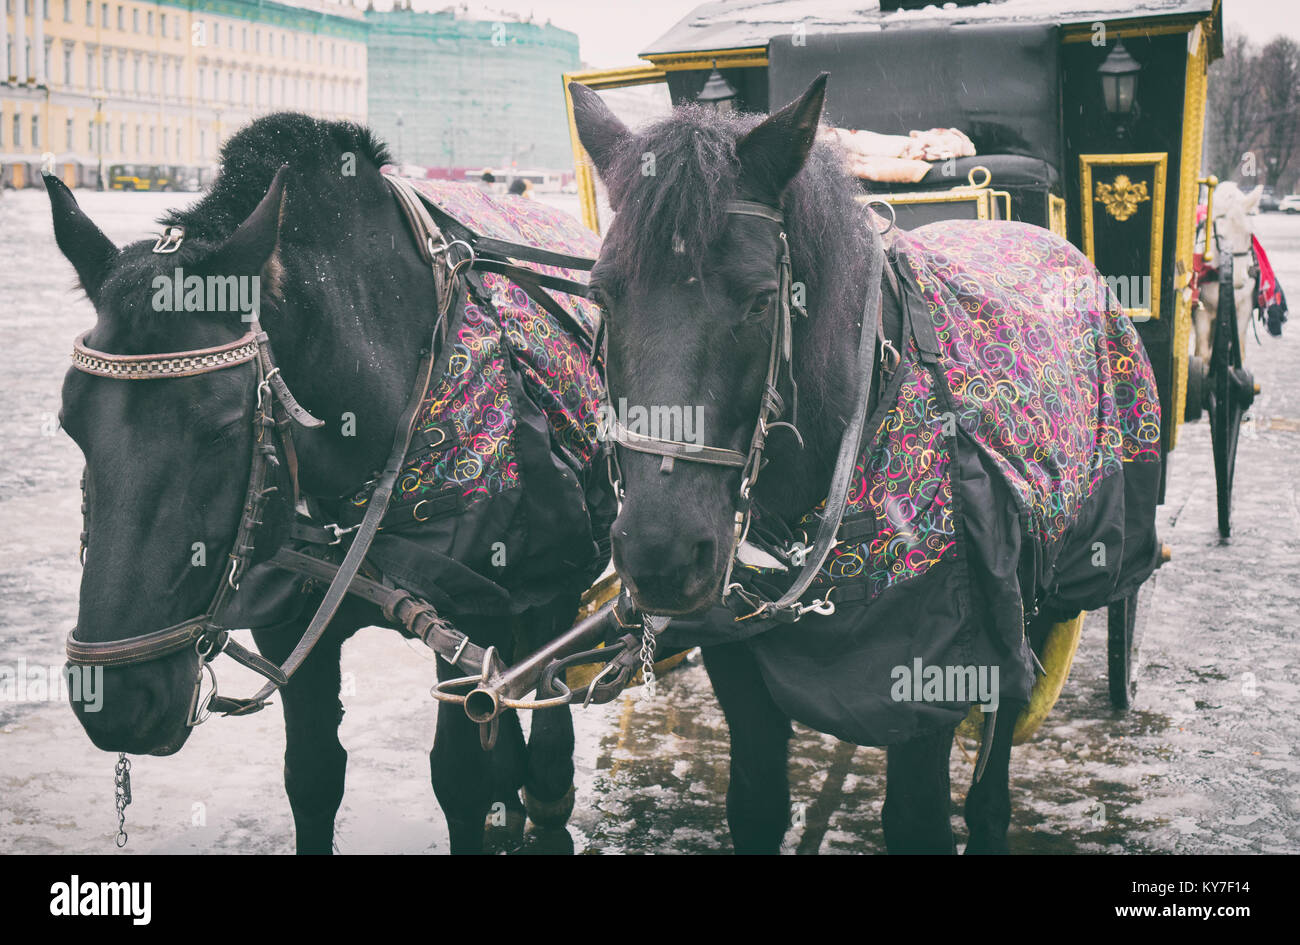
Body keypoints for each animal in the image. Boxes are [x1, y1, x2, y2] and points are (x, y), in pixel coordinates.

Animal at [46, 112, 608, 854]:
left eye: (222, 428)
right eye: (70, 421)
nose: (115, 702)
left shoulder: (473, 615)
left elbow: (460, 777)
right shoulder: (288, 628)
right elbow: (312, 777)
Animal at [569, 75, 1163, 854]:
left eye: (760, 300)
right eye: (602, 293)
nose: (660, 553)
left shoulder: (931, 677)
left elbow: (918, 817)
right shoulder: (735, 662)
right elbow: (755, 802)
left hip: (1045, 591)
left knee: (999, 760)